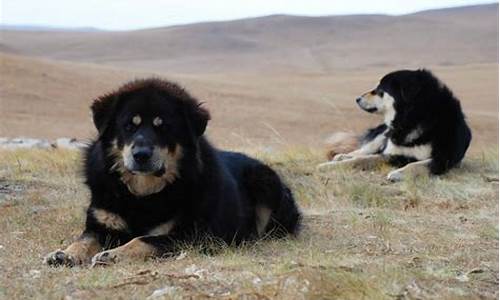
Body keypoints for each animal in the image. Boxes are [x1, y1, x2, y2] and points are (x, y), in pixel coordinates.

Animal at [45, 78, 300, 268]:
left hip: (264, 182)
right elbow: (84, 241)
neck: (142, 195)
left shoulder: (191, 234)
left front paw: (114, 254)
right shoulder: (100, 225)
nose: (141, 154)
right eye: (129, 125)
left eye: (163, 127)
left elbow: (144, 240)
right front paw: (65, 253)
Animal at [318, 69, 470, 182]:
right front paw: (329, 166)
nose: (357, 99)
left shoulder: (442, 159)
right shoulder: (392, 153)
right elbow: (364, 158)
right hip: (383, 135)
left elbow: (416, 164)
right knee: (362, 151)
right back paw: (342, 156)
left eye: (379, 90)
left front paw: (399, 173)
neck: (412, 117)